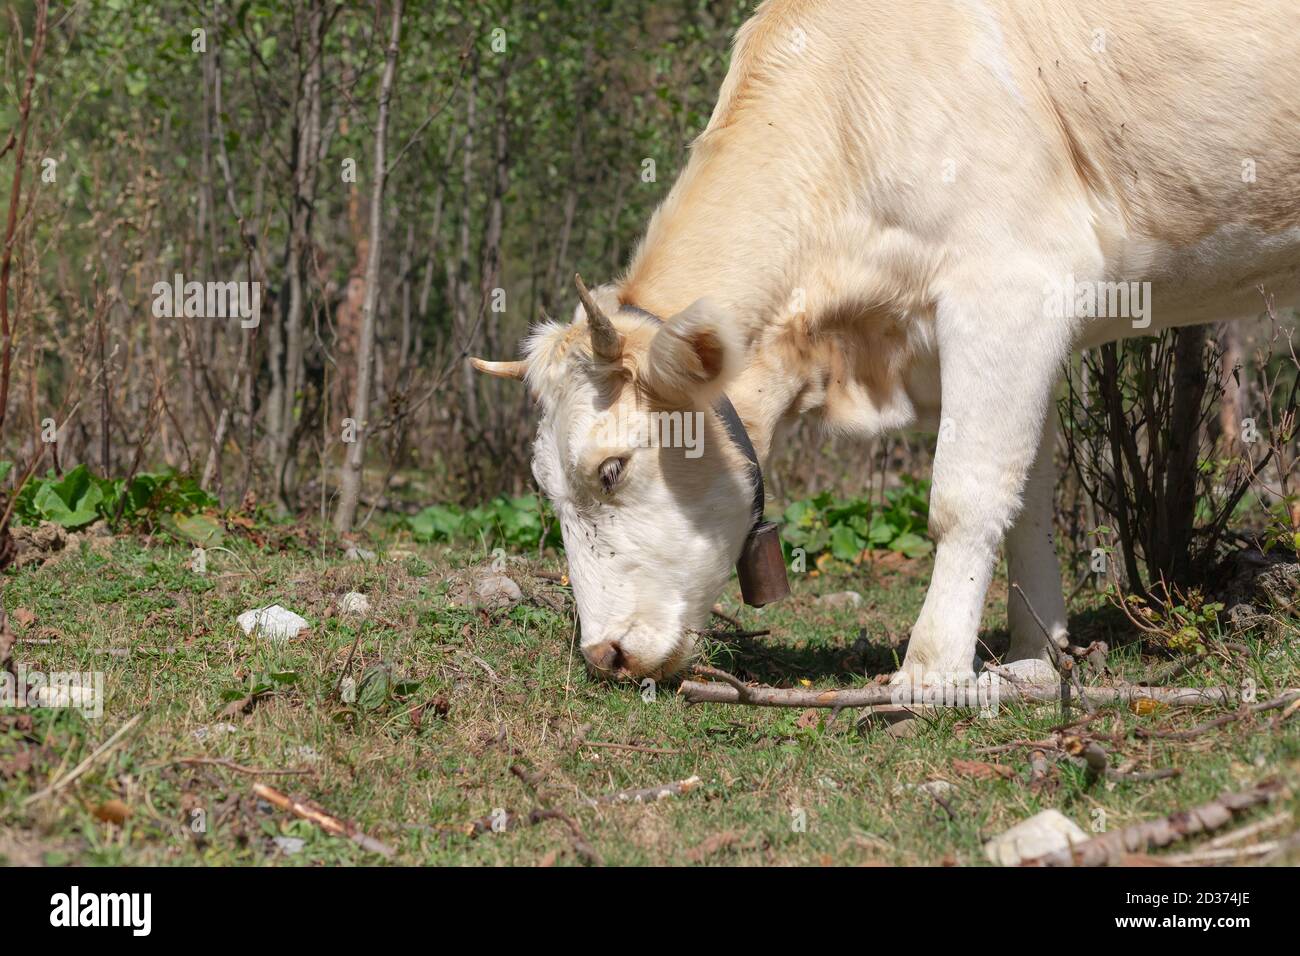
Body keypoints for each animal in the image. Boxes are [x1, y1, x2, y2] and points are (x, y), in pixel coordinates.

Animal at [473, 0, 1300, 687]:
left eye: (610, 468)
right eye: (546, 485)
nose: (604, 654)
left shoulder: (1009, 287)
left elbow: (966, 496)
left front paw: (931, 674)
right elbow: (1027, 496)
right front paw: (1032, 657)